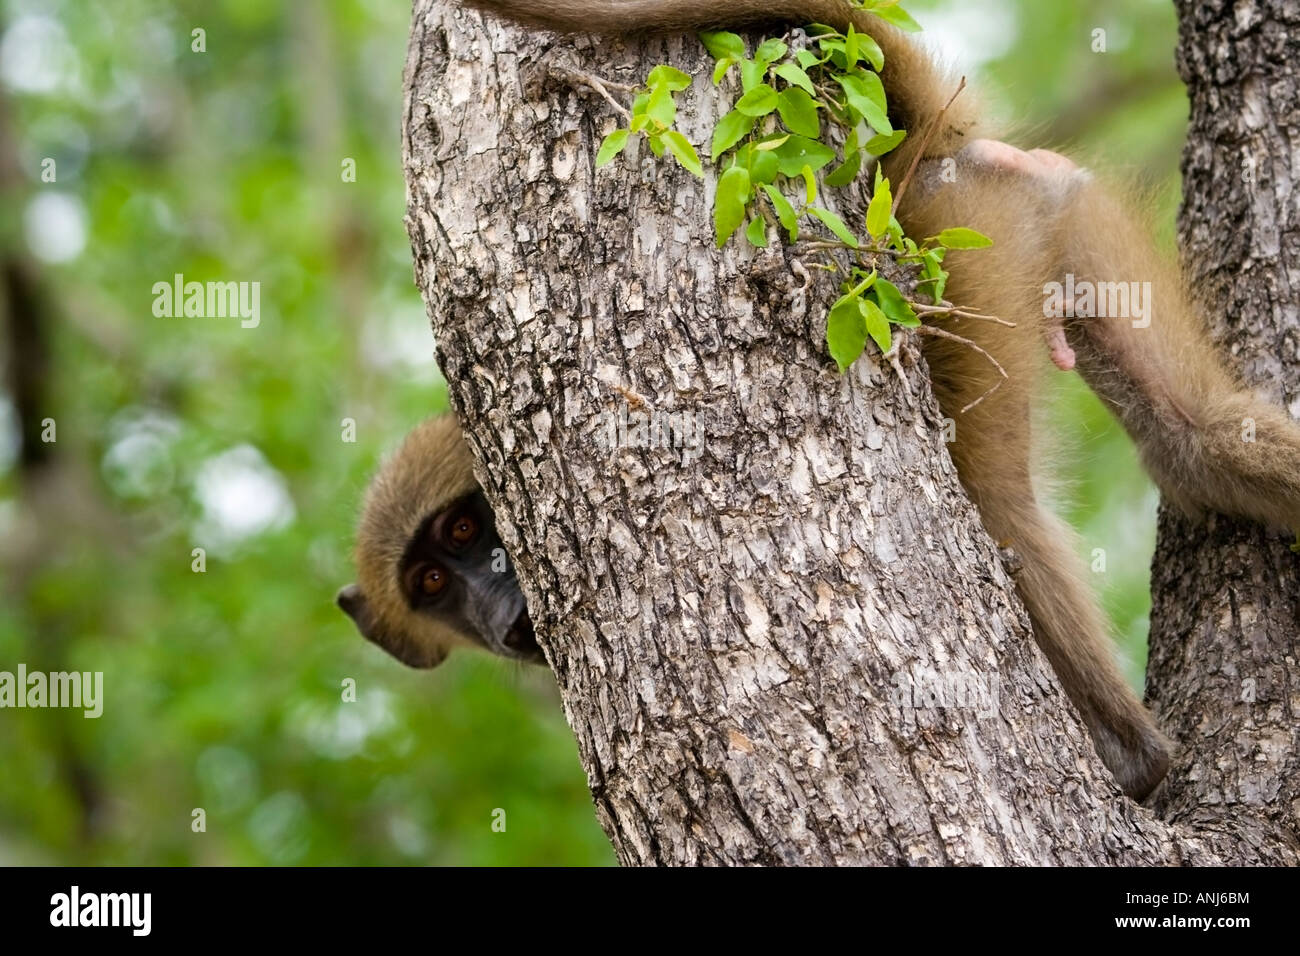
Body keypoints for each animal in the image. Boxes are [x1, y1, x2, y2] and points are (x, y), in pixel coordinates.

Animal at [339, 0, 1300, 802]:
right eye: (434, 584)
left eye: (468, 530)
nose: (499, 605)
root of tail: (921, 163)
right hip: (1048, 217)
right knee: (1193, 438)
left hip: (956, 264)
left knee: (1002, 504)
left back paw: (1139, 761)